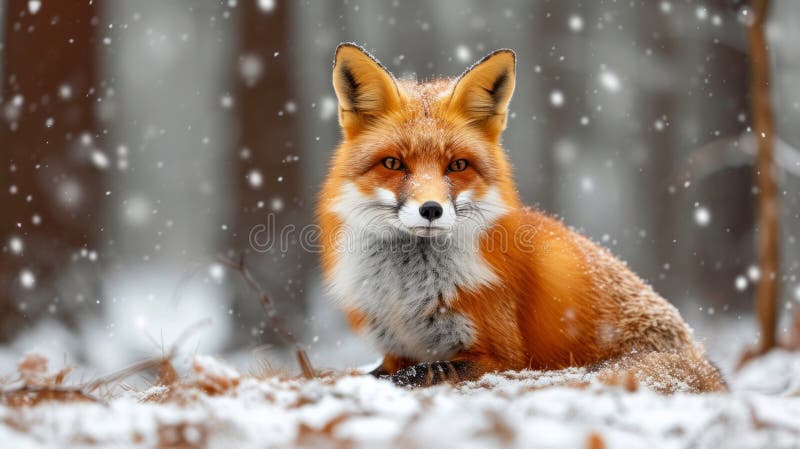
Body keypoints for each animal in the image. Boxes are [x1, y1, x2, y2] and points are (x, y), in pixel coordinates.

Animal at [317, 43, 726, 393]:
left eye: (458, 165)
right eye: (393, 163)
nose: (431, 209)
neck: (405, 297)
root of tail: (703, 357)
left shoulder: (501, 358)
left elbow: (417, 373)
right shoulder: (394, 349)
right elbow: (374, 373)